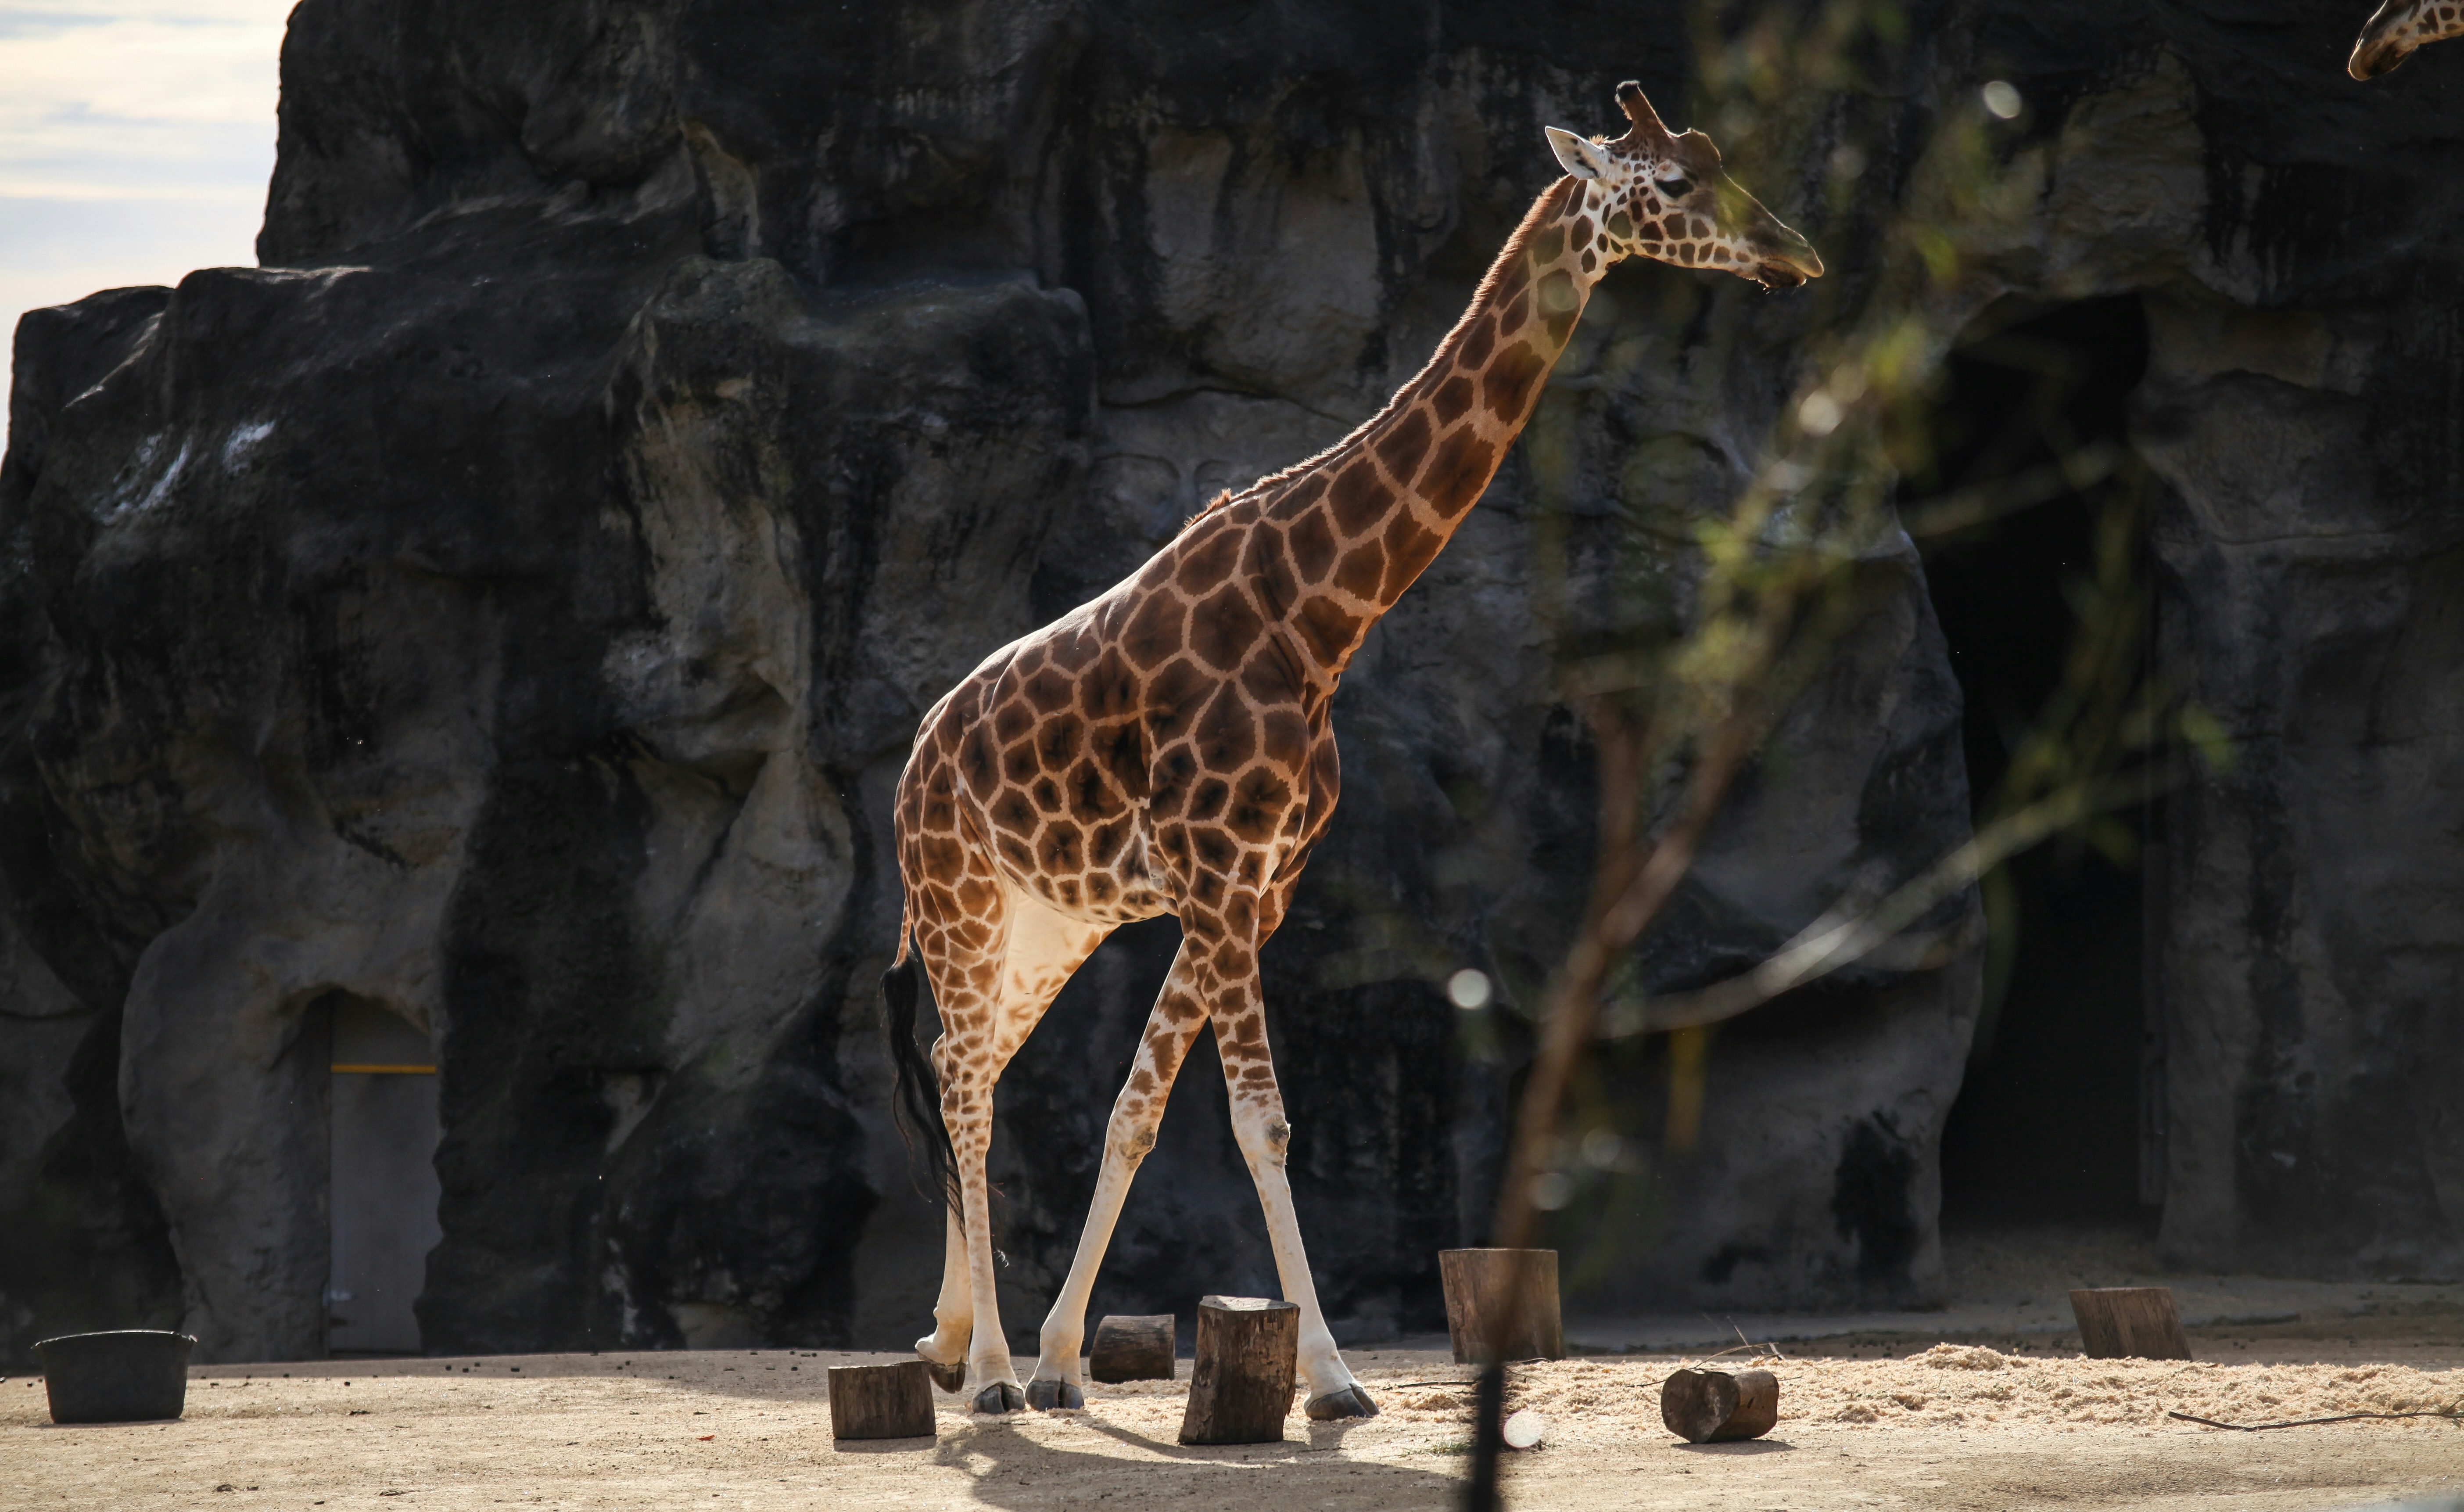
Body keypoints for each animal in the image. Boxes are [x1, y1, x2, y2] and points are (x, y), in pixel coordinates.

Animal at [881, 81, 1823, 1418]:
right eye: (1680, 185)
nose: (1794, 253)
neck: (1317, 613)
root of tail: (912, 759)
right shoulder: (1220, 876)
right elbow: (1259, 1120)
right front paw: (1326, 1377)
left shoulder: (1255, 885)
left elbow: (1136, 1108)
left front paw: (1070, 1355)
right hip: (959, 900)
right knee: (961, 1084)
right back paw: (991, 1375)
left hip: (1047, 923)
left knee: (970, 1064)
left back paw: (953, 1341)